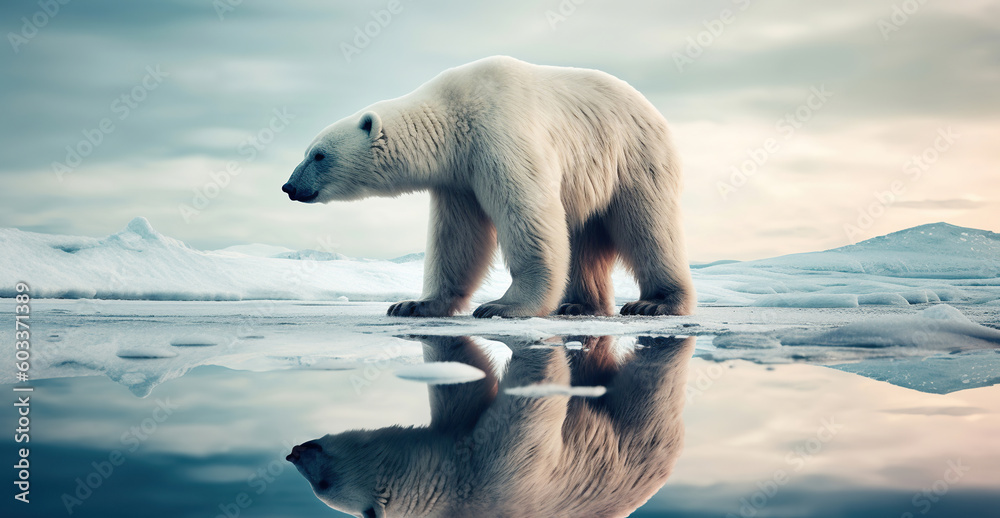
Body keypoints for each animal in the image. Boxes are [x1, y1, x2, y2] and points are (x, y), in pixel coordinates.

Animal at [282, 56, 695, 318]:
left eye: (318, 155)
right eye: (308, 151)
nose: (288, 186)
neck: (452, 114)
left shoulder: (499, 135)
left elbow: (529, 216)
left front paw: (503, 306)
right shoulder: (457, 177)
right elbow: (457, 239)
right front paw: (412, 304)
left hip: (633, 157)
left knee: (648, 228)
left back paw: (655, 303)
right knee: (584, 237)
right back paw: (578, 305)